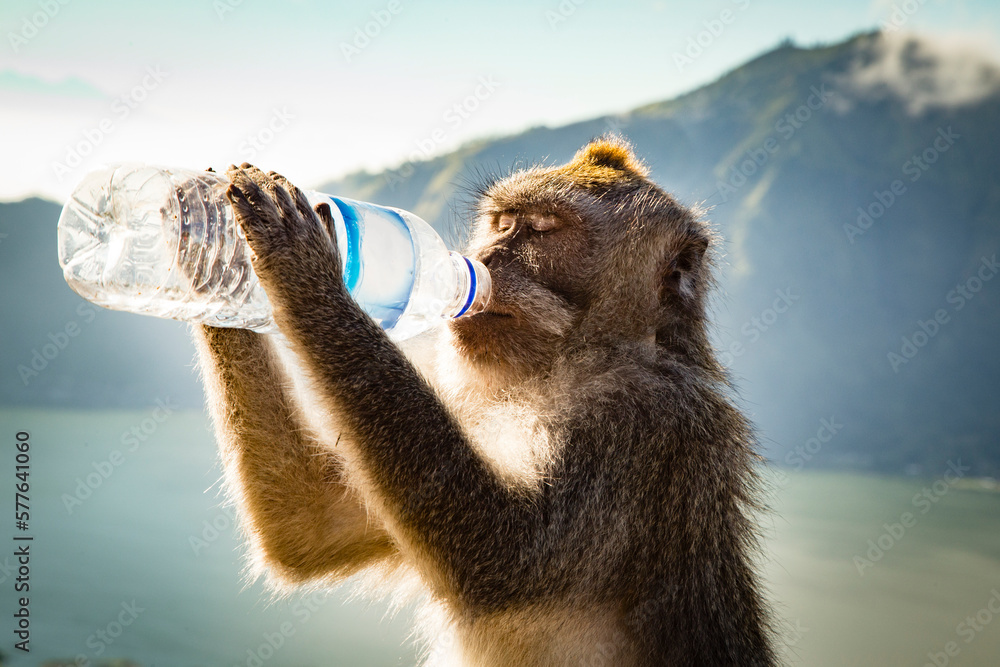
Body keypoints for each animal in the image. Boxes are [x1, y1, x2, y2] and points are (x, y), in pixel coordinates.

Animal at [192, 135, 778, 666]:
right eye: (501, 221)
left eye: (542, 228)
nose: (485, 257)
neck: (567, 365)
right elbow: (310, 526)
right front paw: (206, 259)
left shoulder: (645, 421)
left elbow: (501, 555)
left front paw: (303, 263)